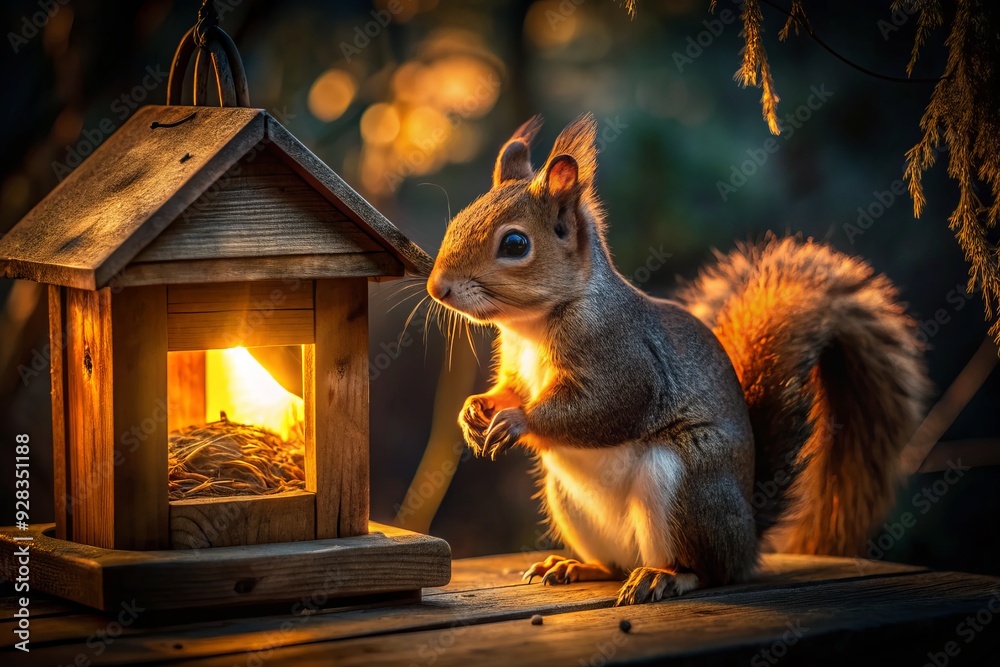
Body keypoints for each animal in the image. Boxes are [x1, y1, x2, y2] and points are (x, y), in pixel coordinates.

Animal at [426, 114, 930, 606]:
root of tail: (747, 537)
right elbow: (510, 388)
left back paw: (666, 577)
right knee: (616, 566)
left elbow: (605, 409)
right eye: (460, 218)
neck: (532, 325)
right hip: (568, 499)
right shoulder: (516, 363)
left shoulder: (624, 357)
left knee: (708, 570)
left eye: (514, 244)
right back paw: (575, 566)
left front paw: (517, 421)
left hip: (686, 483)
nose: (437, 287)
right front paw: (474, 409)